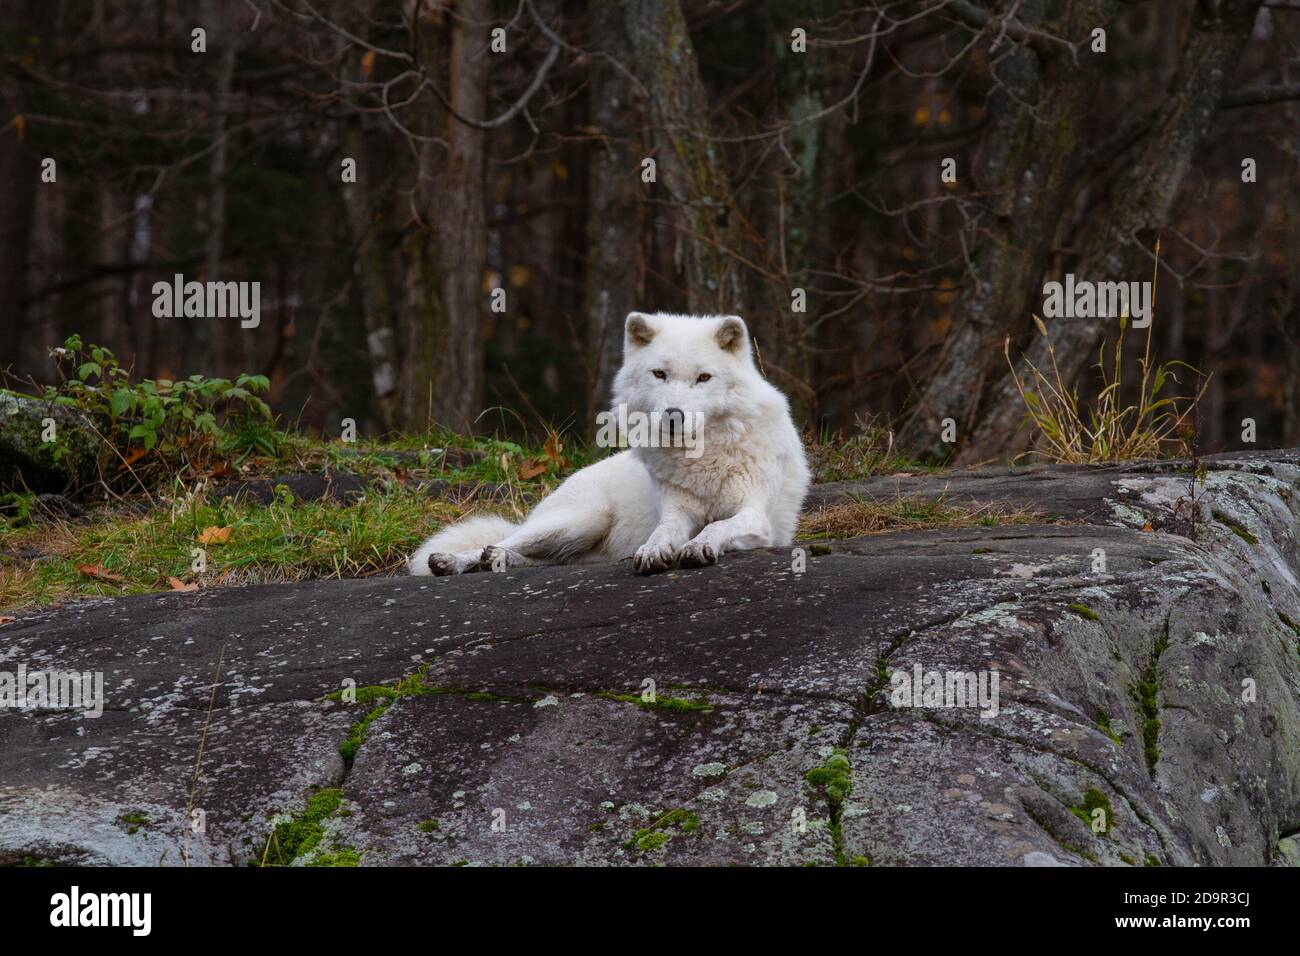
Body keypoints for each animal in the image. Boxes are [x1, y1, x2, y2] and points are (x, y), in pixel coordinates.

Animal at [407, 312, 810, 576]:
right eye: (659, 374)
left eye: (703, 378)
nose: (674, 415)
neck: (703, 455)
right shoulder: (676, 511)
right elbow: (663, 531)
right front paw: (653, 550)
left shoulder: (757, 517)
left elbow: (718, 527)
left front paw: (697, 546)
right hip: (582, 519)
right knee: (502, 541)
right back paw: (453, 560)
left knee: (538, 556)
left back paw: (497, 561)